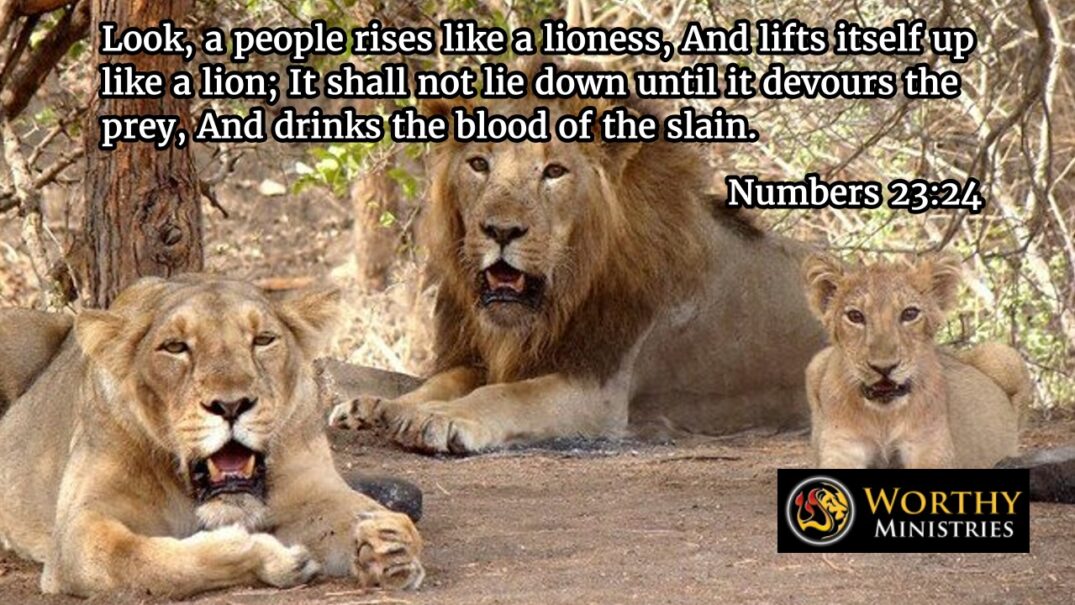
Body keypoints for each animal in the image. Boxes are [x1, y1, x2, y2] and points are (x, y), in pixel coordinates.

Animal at [0, 275, 423, 597]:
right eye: (175, 347)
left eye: (263, 340)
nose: (232, 405)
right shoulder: (78, 529)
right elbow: (144, 562)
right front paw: (270, 558)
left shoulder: (311, 488)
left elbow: (366, 514)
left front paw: (388, 543)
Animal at [328, 58, 827, 454]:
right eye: (479, 164)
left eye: (554, 171)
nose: (501, 230)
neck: (559, 298)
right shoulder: (484, 355)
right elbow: (441, 381)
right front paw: (381, 406)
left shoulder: (599, 389)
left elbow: (507, 396)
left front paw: (437, 417)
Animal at [801, 253, 1030, 468]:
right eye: (855, 316)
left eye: (909, 314)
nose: (884, 367)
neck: (883, 418)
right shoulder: (842, 446)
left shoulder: (930, 448)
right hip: (816, 363)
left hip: (1003, 355)